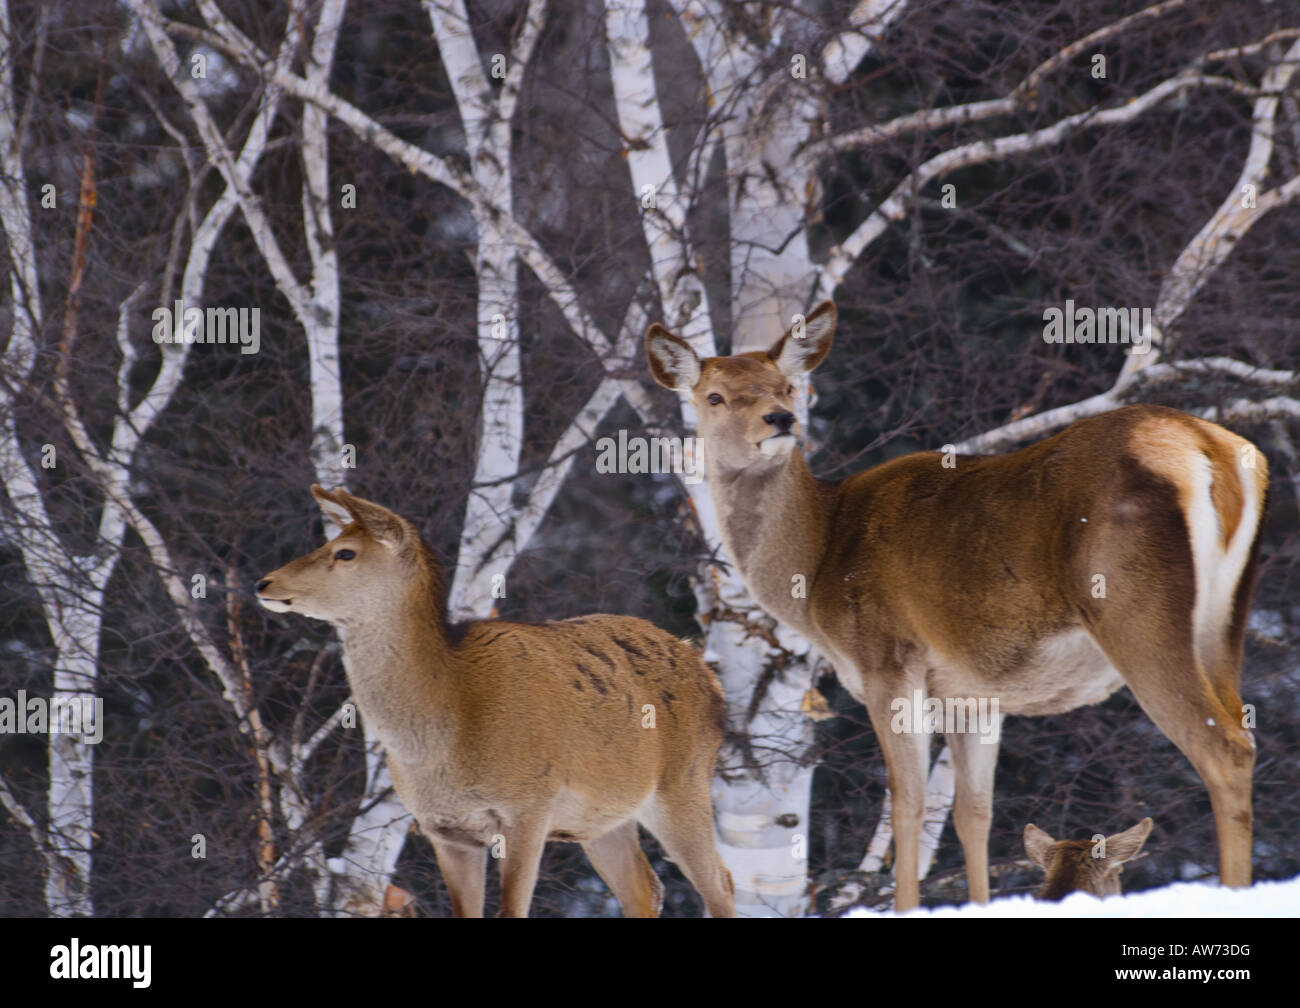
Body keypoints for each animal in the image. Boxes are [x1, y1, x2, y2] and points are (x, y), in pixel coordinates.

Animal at [256, 486, 736, 918]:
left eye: (346, 553)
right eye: (328, 542)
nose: (264, 582)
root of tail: (710, 676)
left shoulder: (529, 806)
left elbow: (512, 910)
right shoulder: (444, 830)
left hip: (684, 781)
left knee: (720, 883)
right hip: (603, 819)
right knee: (645, 888)